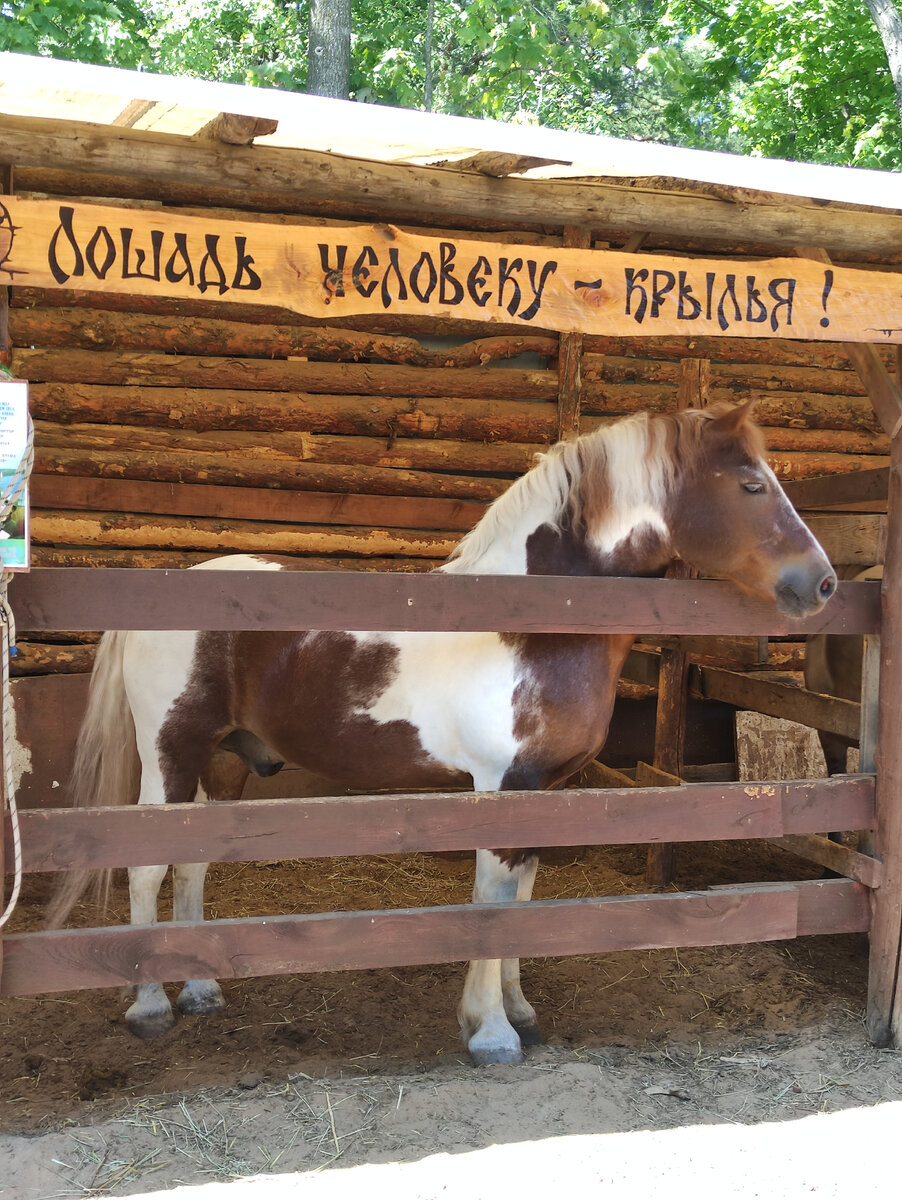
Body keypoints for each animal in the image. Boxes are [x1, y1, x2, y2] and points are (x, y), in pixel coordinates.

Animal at [50, 403, 839, 1070]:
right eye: (751, 485)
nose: (825, 584)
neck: (528, 623)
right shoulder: (500, 787)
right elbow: (490, 907)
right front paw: (489, 1033)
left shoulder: (544, 791)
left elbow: (520, 899)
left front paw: (519, 1013)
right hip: (171, 753)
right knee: (146, 868)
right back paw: (151, 1005)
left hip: (224, 762)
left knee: (191, 864)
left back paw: (202, 990)